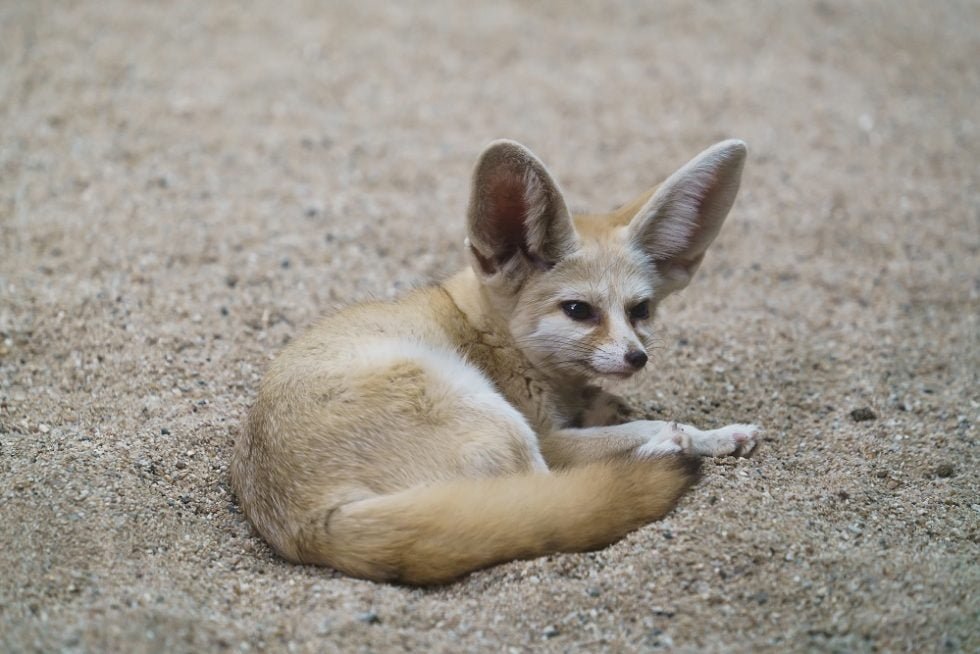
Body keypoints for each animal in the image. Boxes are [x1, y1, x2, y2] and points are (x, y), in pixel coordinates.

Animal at [230, 138, 759, 585]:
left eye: (640, 310)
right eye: (578, 311)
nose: (637, 357)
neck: (490, 331)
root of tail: (309, 524)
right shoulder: (549, 435)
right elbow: (646, 427)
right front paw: (708, 435)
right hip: (495, 419)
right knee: (551, 491)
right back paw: (663, 453)